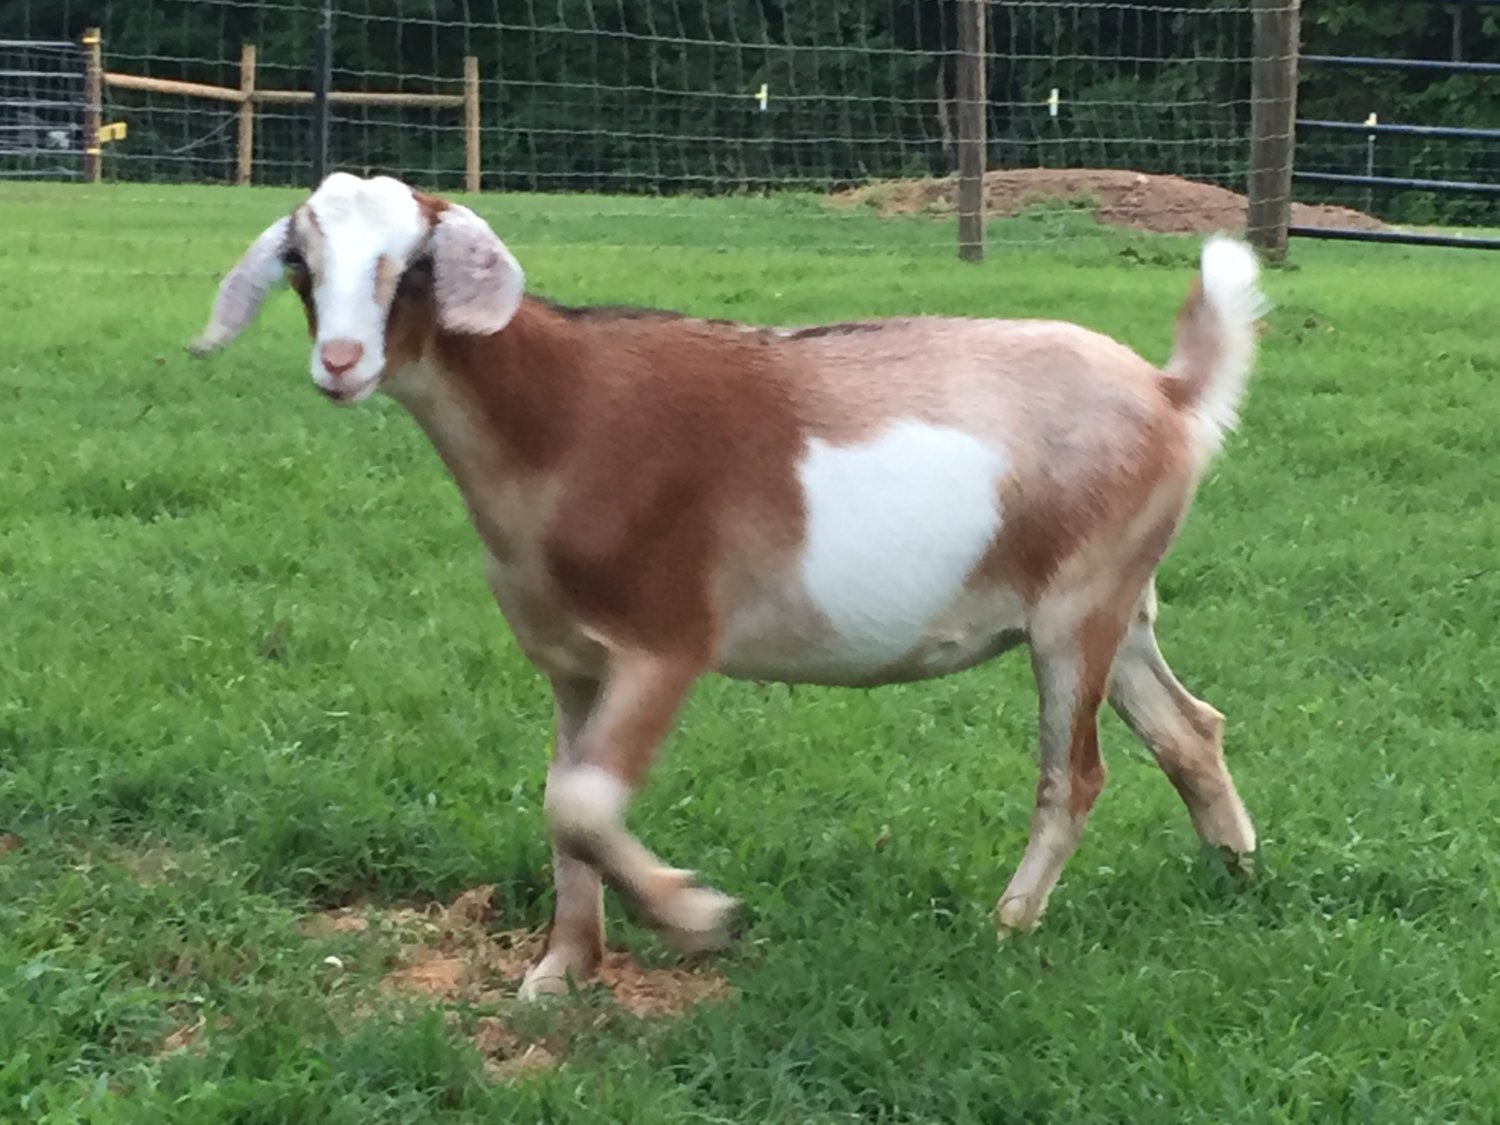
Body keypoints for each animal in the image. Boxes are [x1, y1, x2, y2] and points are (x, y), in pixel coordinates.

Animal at [188, 171, 1266, 1000]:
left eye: (413, 264)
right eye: (301, 263)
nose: (340, 362)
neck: (562, 420)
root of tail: (1171, 393)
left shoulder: (666, 639)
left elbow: (581, 805)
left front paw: (699, 918)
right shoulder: (572, 665)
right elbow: (561, 806)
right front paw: (562, 971)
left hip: (1077, 605)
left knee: (1075, 773)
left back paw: (1010, 922)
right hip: (1116, 603)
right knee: (1188, 728)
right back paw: (1238, 871)